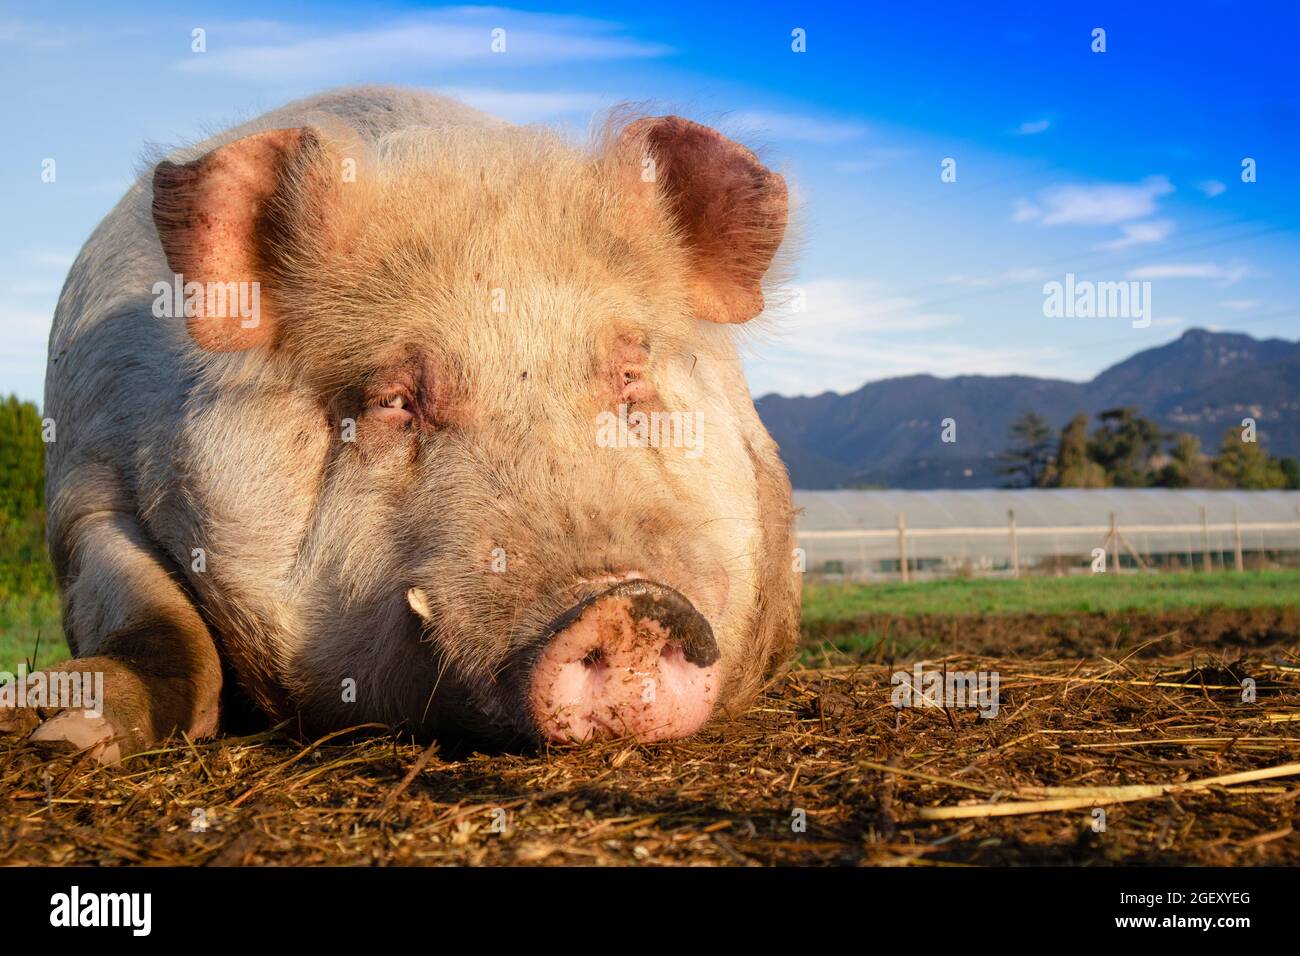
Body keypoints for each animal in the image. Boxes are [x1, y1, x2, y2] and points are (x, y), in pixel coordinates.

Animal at [4, 86, 800, 763]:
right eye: (393, 399)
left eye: (631, 376)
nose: (625, 602)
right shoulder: (85, 487)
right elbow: (162, 624)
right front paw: (61, 733)